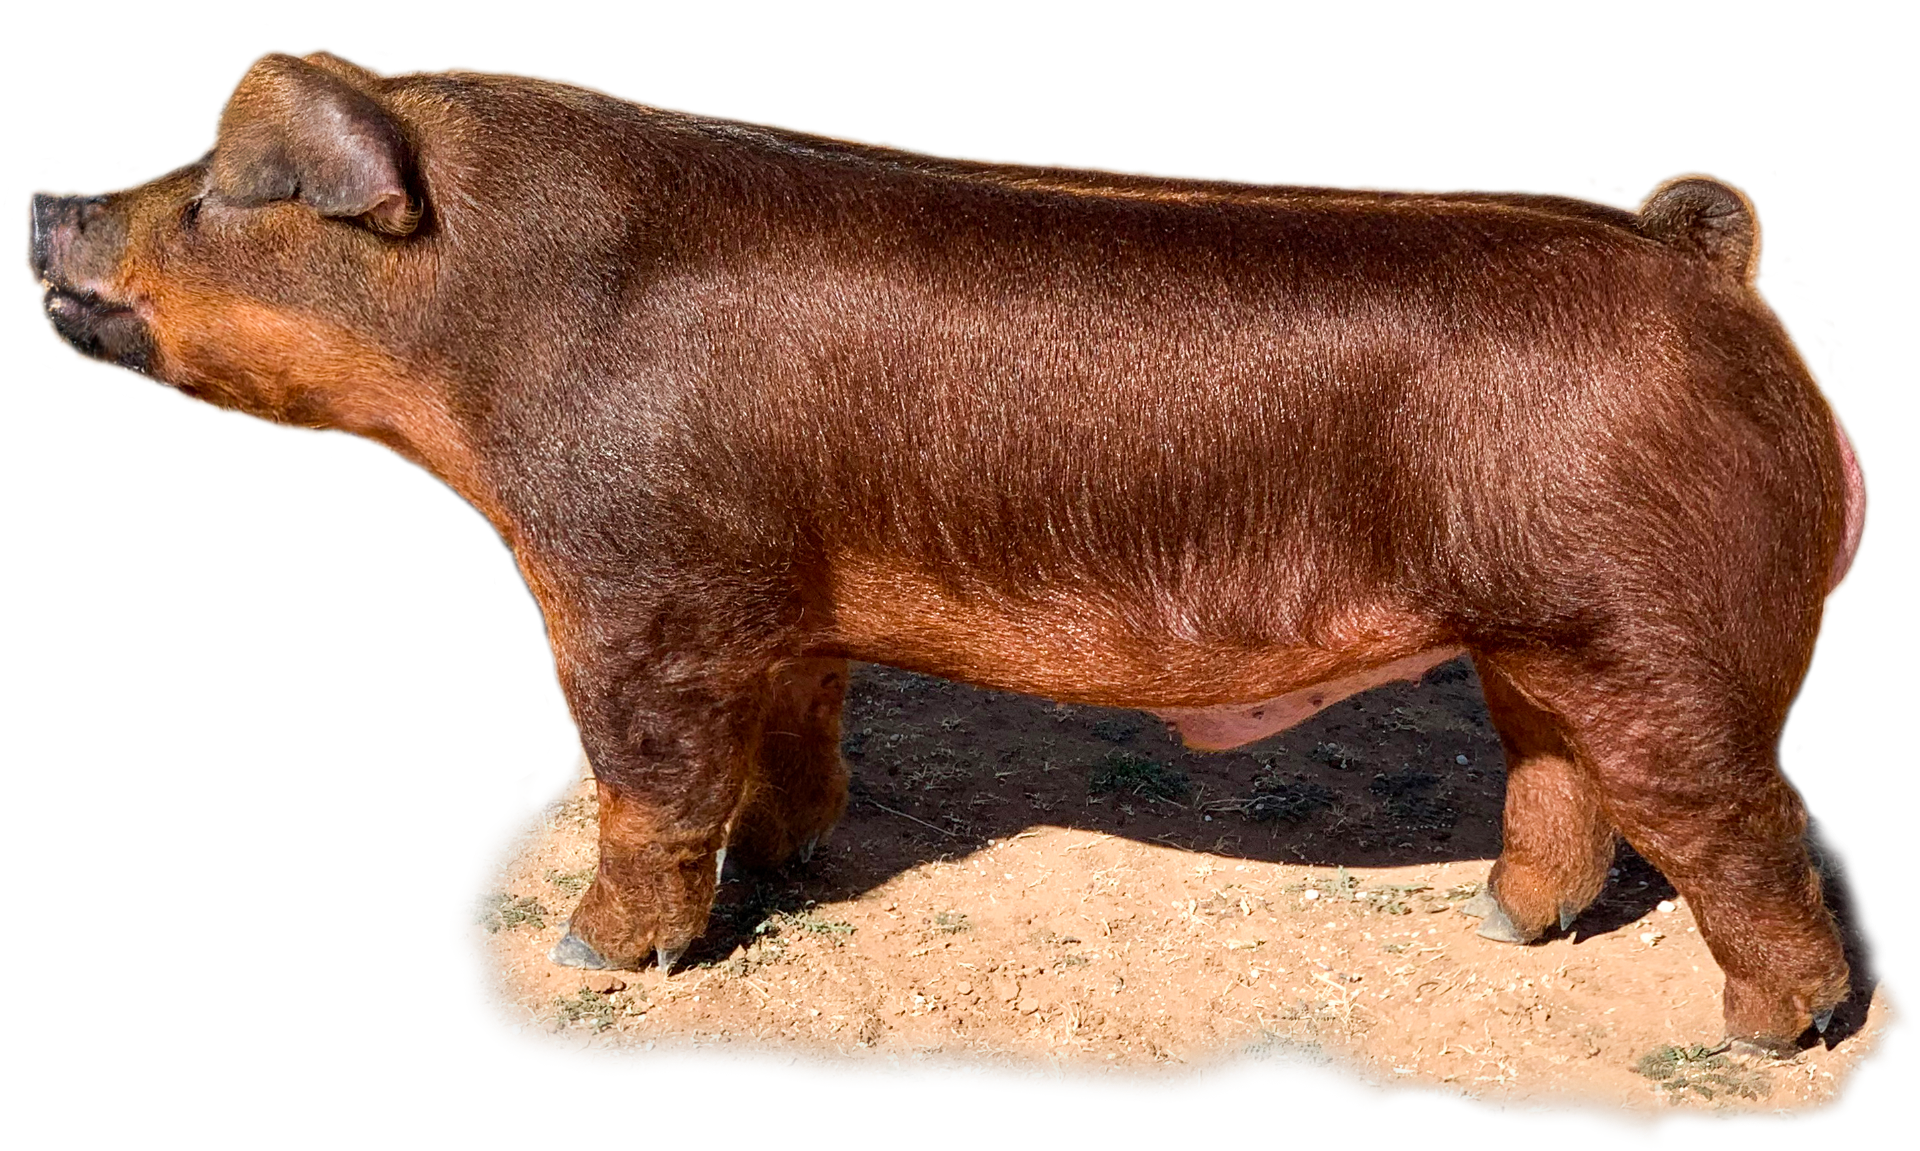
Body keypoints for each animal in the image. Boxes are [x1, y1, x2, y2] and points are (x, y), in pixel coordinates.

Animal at [26, 47, 1867, 1055]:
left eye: (225, 189)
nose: (46, 197)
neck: (497, 338)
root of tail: (1703, 257)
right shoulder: (773, 611)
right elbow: (789, 749)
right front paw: (778, 867)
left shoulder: (626, 593)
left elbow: (643, 786)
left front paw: (590, 954)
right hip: (1542, 640)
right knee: (1561, 783)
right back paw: (1497, 930)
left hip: (1663, 638)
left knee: (1742, 831)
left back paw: (1766, 1040)